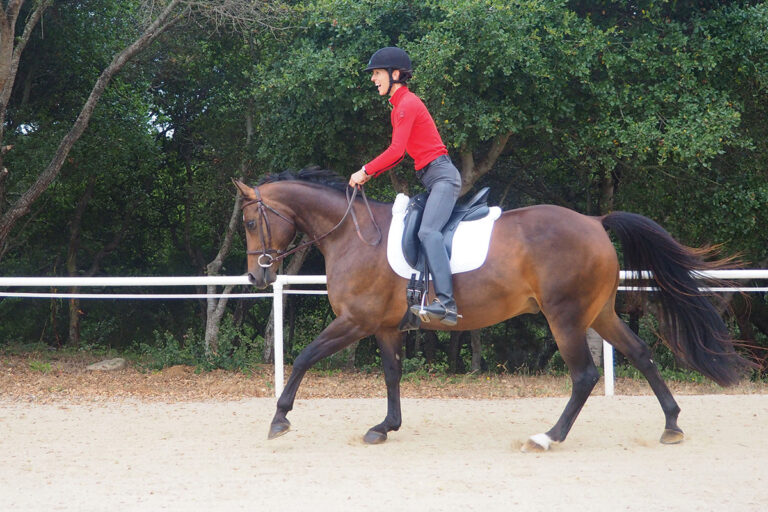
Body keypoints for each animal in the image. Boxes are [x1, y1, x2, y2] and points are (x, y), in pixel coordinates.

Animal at [234, 167, 747, 452]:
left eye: (250, 221)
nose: (256, 278)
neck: (352, 233)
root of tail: (594, 221)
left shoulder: (355, 321)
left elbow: (304, 357)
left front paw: (279, 419)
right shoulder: (384, 326)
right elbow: (393, 374)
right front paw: (385, 426)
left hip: (564, 318)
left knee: (584, 375)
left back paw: (548, 437)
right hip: (599, 313)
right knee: (641, 354)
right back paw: (672, 425)